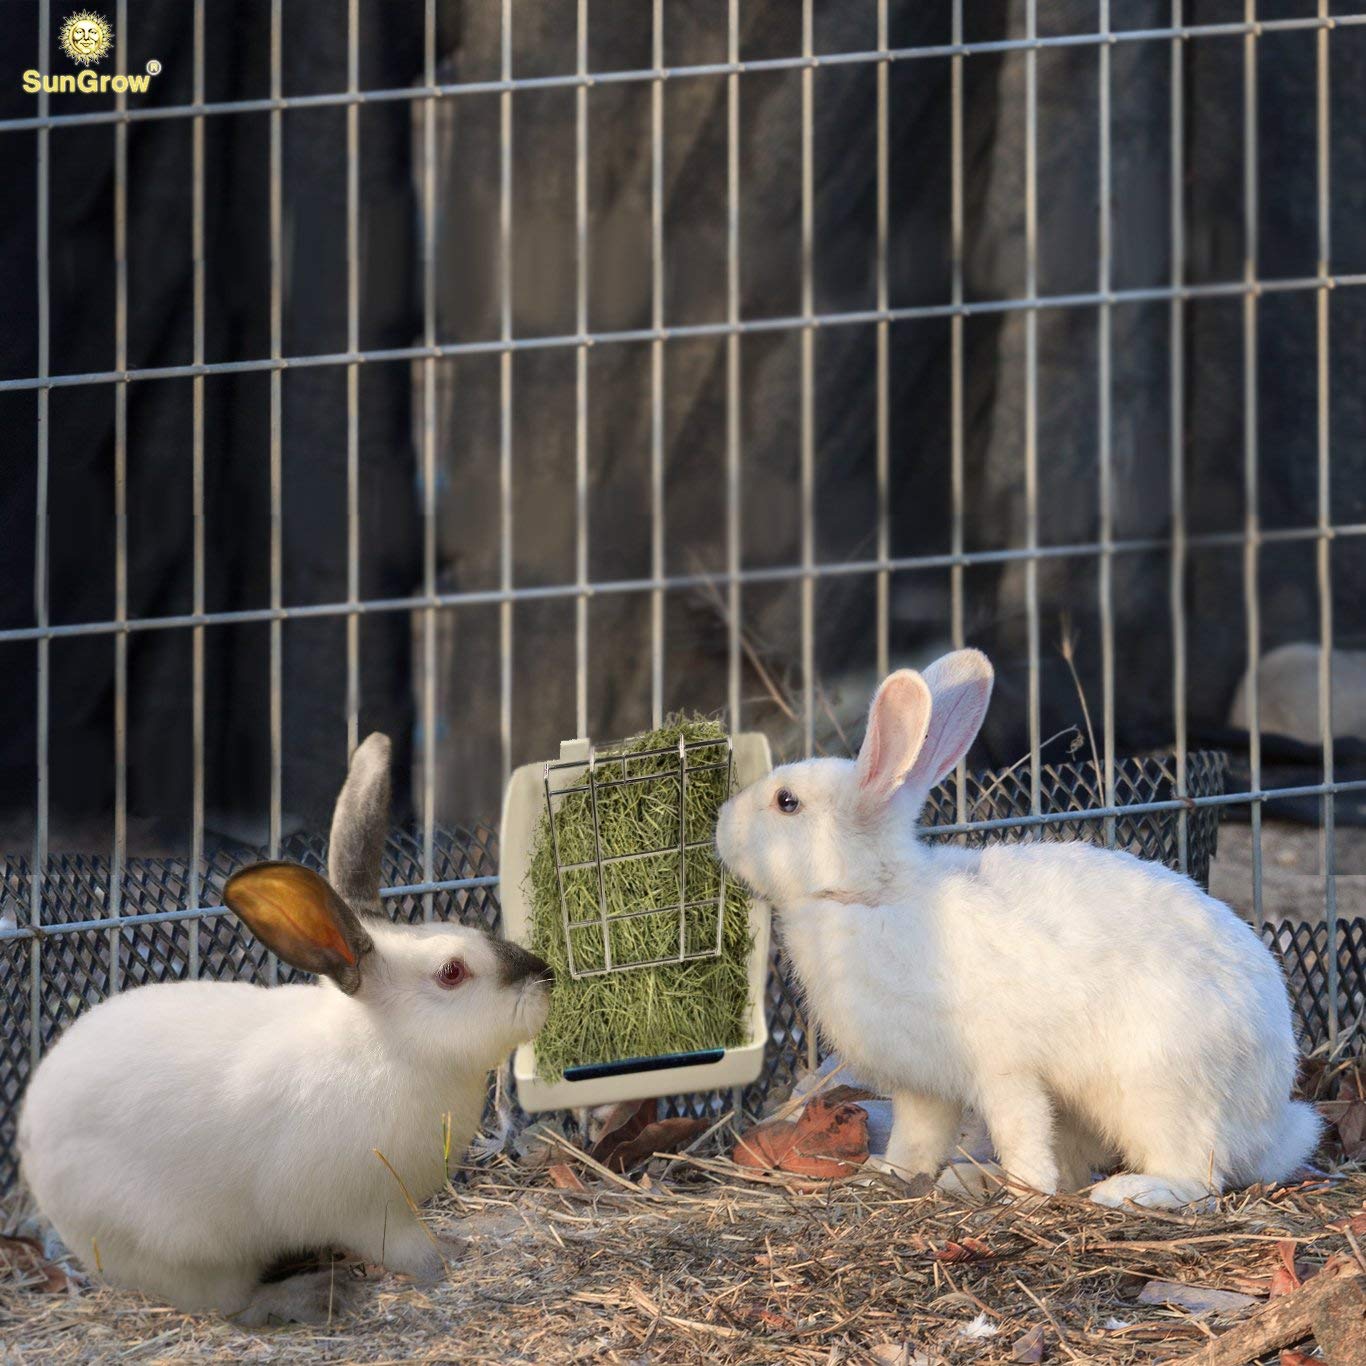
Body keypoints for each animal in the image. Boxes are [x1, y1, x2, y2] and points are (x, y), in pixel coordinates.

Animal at [18, 733, 554, 1324]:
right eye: (452, 972)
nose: (547, 977)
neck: (384, 1050)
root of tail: (30, 1146)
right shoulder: (369, 1210)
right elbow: (411, 1249)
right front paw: (450, 1258)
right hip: (188, 1254)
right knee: (230, 1305)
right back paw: (312, 1294)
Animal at [716, 649, 1320, 1211]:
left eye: (787, 802)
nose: (722, 824)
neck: (872, 896)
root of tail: (1270, 1118)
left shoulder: (1004, 1070)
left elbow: (1020, 1130)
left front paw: (1024, 1195)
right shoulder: (924, 1086)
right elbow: (917, 1139)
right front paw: (883, 1174)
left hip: (1161, 1093)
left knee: (1198, 1176)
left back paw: (1128, 1192)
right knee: (1078, 1169)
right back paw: (971, 1179)